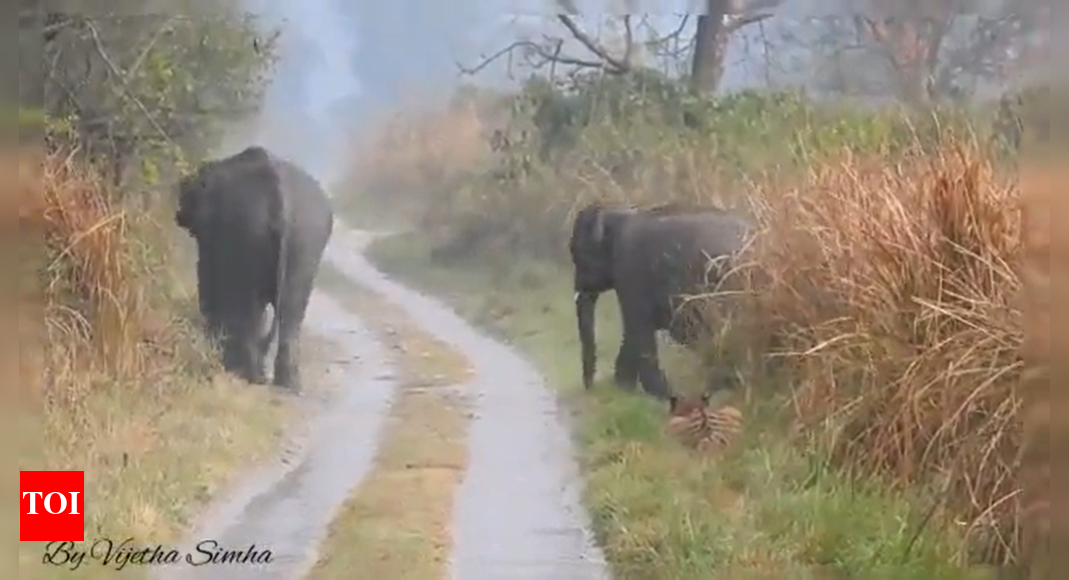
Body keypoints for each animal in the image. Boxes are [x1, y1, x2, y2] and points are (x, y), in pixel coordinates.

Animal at [175, 145, 334, 391]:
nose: (178, 214)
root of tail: (280, 206)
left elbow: (207, 277)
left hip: (249, 234)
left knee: (249, 306)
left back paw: (246, 373)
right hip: (307, 244)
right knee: (291, 311)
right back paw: (287, 384)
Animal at [569, 202, 752, 399]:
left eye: (577, 253)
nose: (590, 388)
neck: (621, 212)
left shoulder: (630, 268)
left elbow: (638, 328)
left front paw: (664, 395)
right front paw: (624, 391)